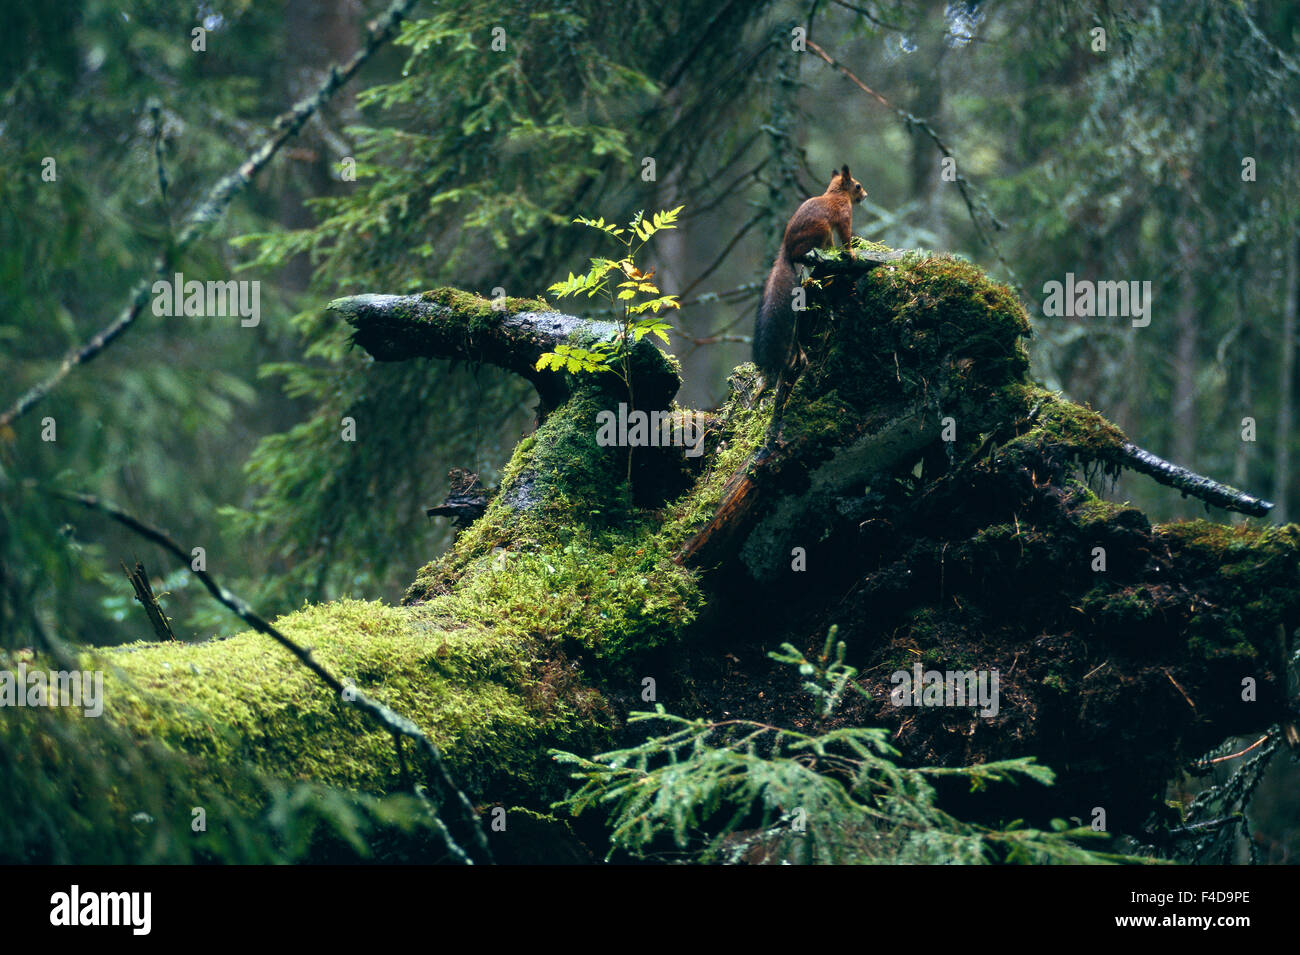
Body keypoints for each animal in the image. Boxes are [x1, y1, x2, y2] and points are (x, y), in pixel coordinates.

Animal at [753, 164, 867, 380]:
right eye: (857, 186)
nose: (865, 195)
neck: (837, 194)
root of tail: (787, 250)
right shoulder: (843, 215)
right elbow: (846, 236)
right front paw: (851, 253)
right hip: (821, 231)